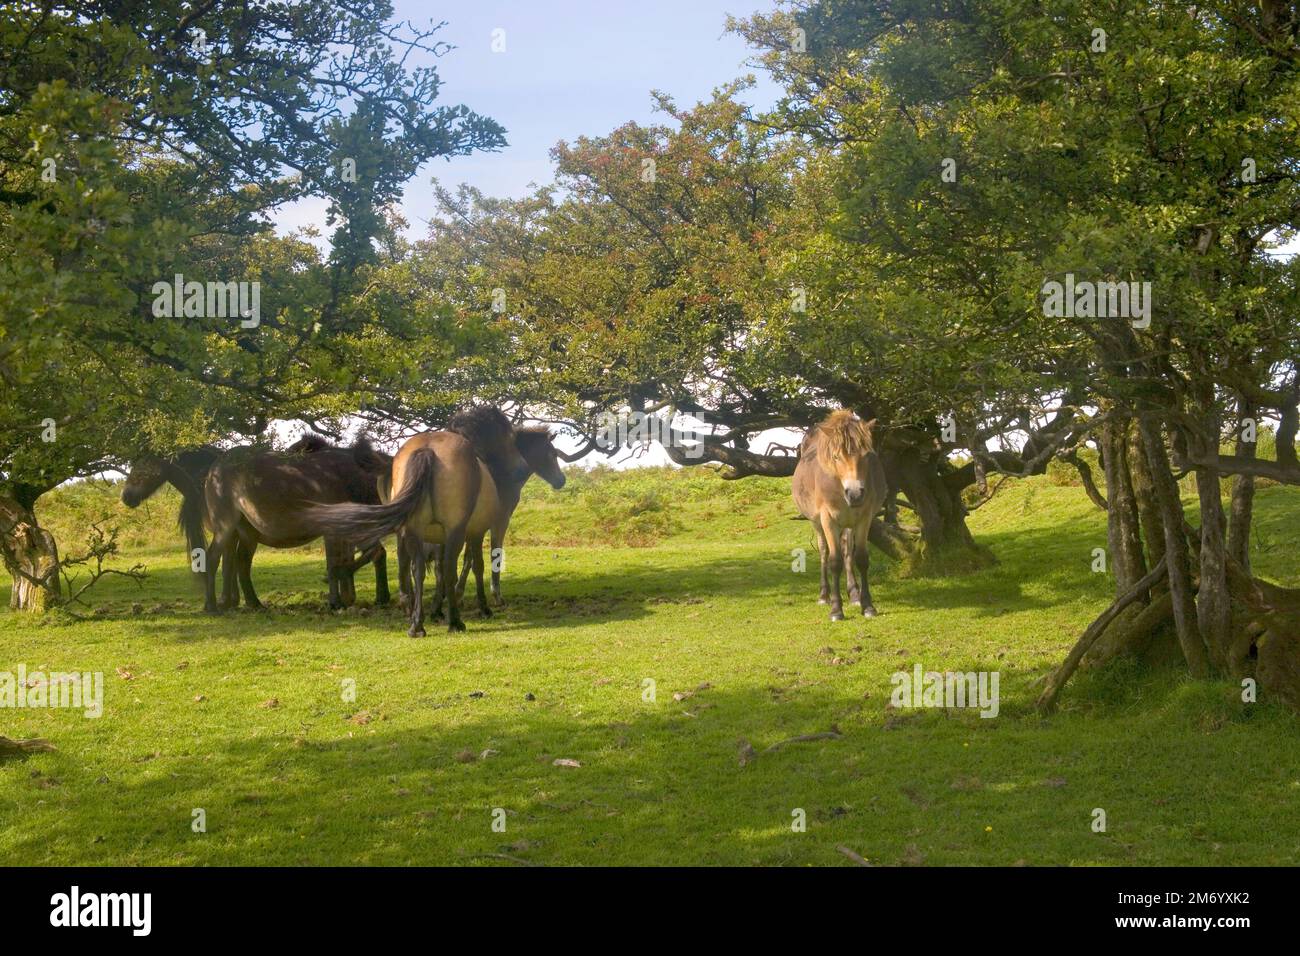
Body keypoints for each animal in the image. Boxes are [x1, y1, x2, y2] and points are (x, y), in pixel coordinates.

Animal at [200, 438, 392, 613]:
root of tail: (214, 467)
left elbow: (368, 555)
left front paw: (376, 597)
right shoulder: (334, 530)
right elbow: (335, 563)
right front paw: (336, 601)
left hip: (247, 531)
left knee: (240, 562)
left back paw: (253, 603)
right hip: (225, 525)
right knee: (212, 558)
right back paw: (211, 605)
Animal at [791, 410, 887, 621]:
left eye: (867, 455)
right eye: (836, 457)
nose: (855, 493)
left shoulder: (864, 518)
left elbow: (861, 558)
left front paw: (867, 606)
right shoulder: (828, 519)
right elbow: (834, 561)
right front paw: (836, 609)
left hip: (849, 524)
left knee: (847, 552)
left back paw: (854, 594)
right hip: (817, 523)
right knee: (824, 552)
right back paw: (824, 595)